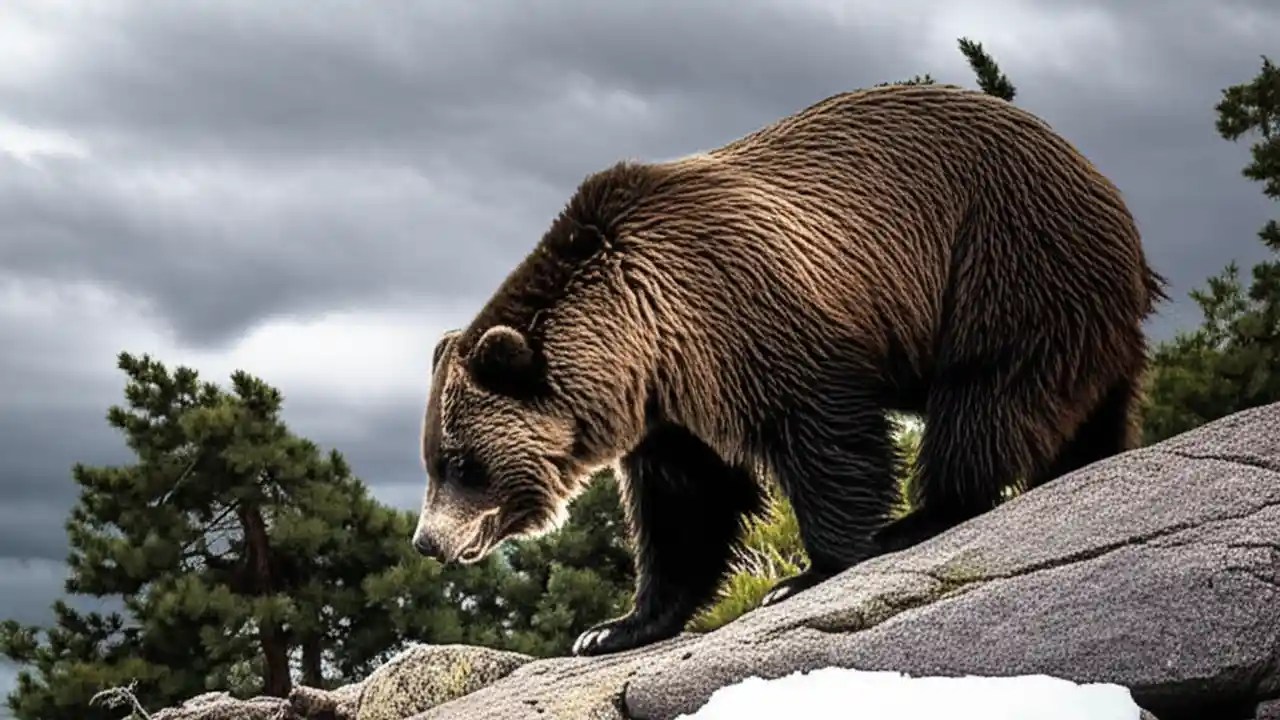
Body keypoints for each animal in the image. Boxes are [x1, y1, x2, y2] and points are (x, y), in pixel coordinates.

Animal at [411, 82, 1167, 658]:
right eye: (434, 460)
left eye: (461, 463)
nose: (426, 540)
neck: (638, 341)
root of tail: (1100, 181)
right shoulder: (669, 407)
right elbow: (684, 505)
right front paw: (614, 627)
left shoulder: (743, 314)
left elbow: (823, 437)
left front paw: (807, 572)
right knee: (1087, 403)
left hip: (1001, 255)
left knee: (985, 396)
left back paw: (923, 516)